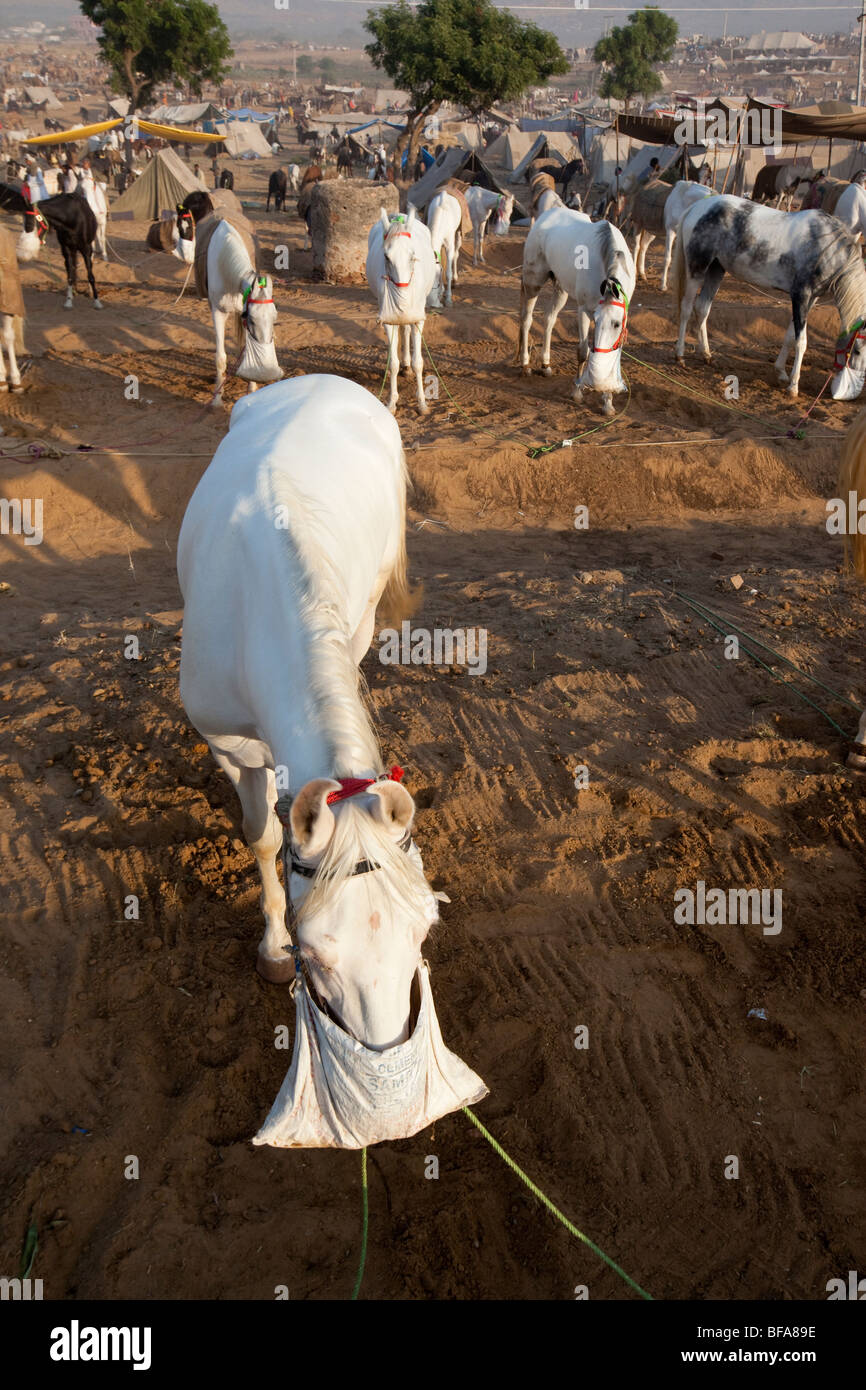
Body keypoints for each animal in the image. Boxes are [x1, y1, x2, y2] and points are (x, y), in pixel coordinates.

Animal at [173, 215, 281, 404]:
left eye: (274, 318)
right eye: (251, 319)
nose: (266, 374)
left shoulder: (240, 308)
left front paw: (251, 389)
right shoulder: (219, 312)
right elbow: (220, 358)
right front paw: (217, 399)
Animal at [176, 373, 443, 1045]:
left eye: (423, 929)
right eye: (316, 952)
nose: (387, 1043)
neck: (259, 609)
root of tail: (324, 378)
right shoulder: (230, 747)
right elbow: (263, 836)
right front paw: (273, 948)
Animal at [366, 206, 441, 414]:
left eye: (413, 255)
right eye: (386, 256)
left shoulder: (418, 318)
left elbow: (418, 363)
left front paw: (422, 403)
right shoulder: (387, 319)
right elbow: (393, 363)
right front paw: (392, 402)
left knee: (406, 329)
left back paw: (407, 365)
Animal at [517, 205, 635, 417]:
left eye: (615, 324)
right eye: (596, 319)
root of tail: (546, 215)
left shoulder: (624, 317)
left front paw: (607, 401)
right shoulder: (584, 310)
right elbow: (582, 351)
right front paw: (578, 392)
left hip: (561, 288)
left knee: (549, 319)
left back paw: (545, 364)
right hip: (533, 281)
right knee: (526, 319)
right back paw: (525, 365)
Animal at [672, 194, 866, 399]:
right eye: (857, 350)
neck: (827, 248)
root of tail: (699, 206)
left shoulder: (810, 300)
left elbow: (790, 336)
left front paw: (781, 372)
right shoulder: (800, 296)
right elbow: (801, 342)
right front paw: (793, 385)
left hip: (716, 269)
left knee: (702, 308)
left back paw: (707, 355)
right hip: (697, 269)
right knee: (686, 308)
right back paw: (680, 356)